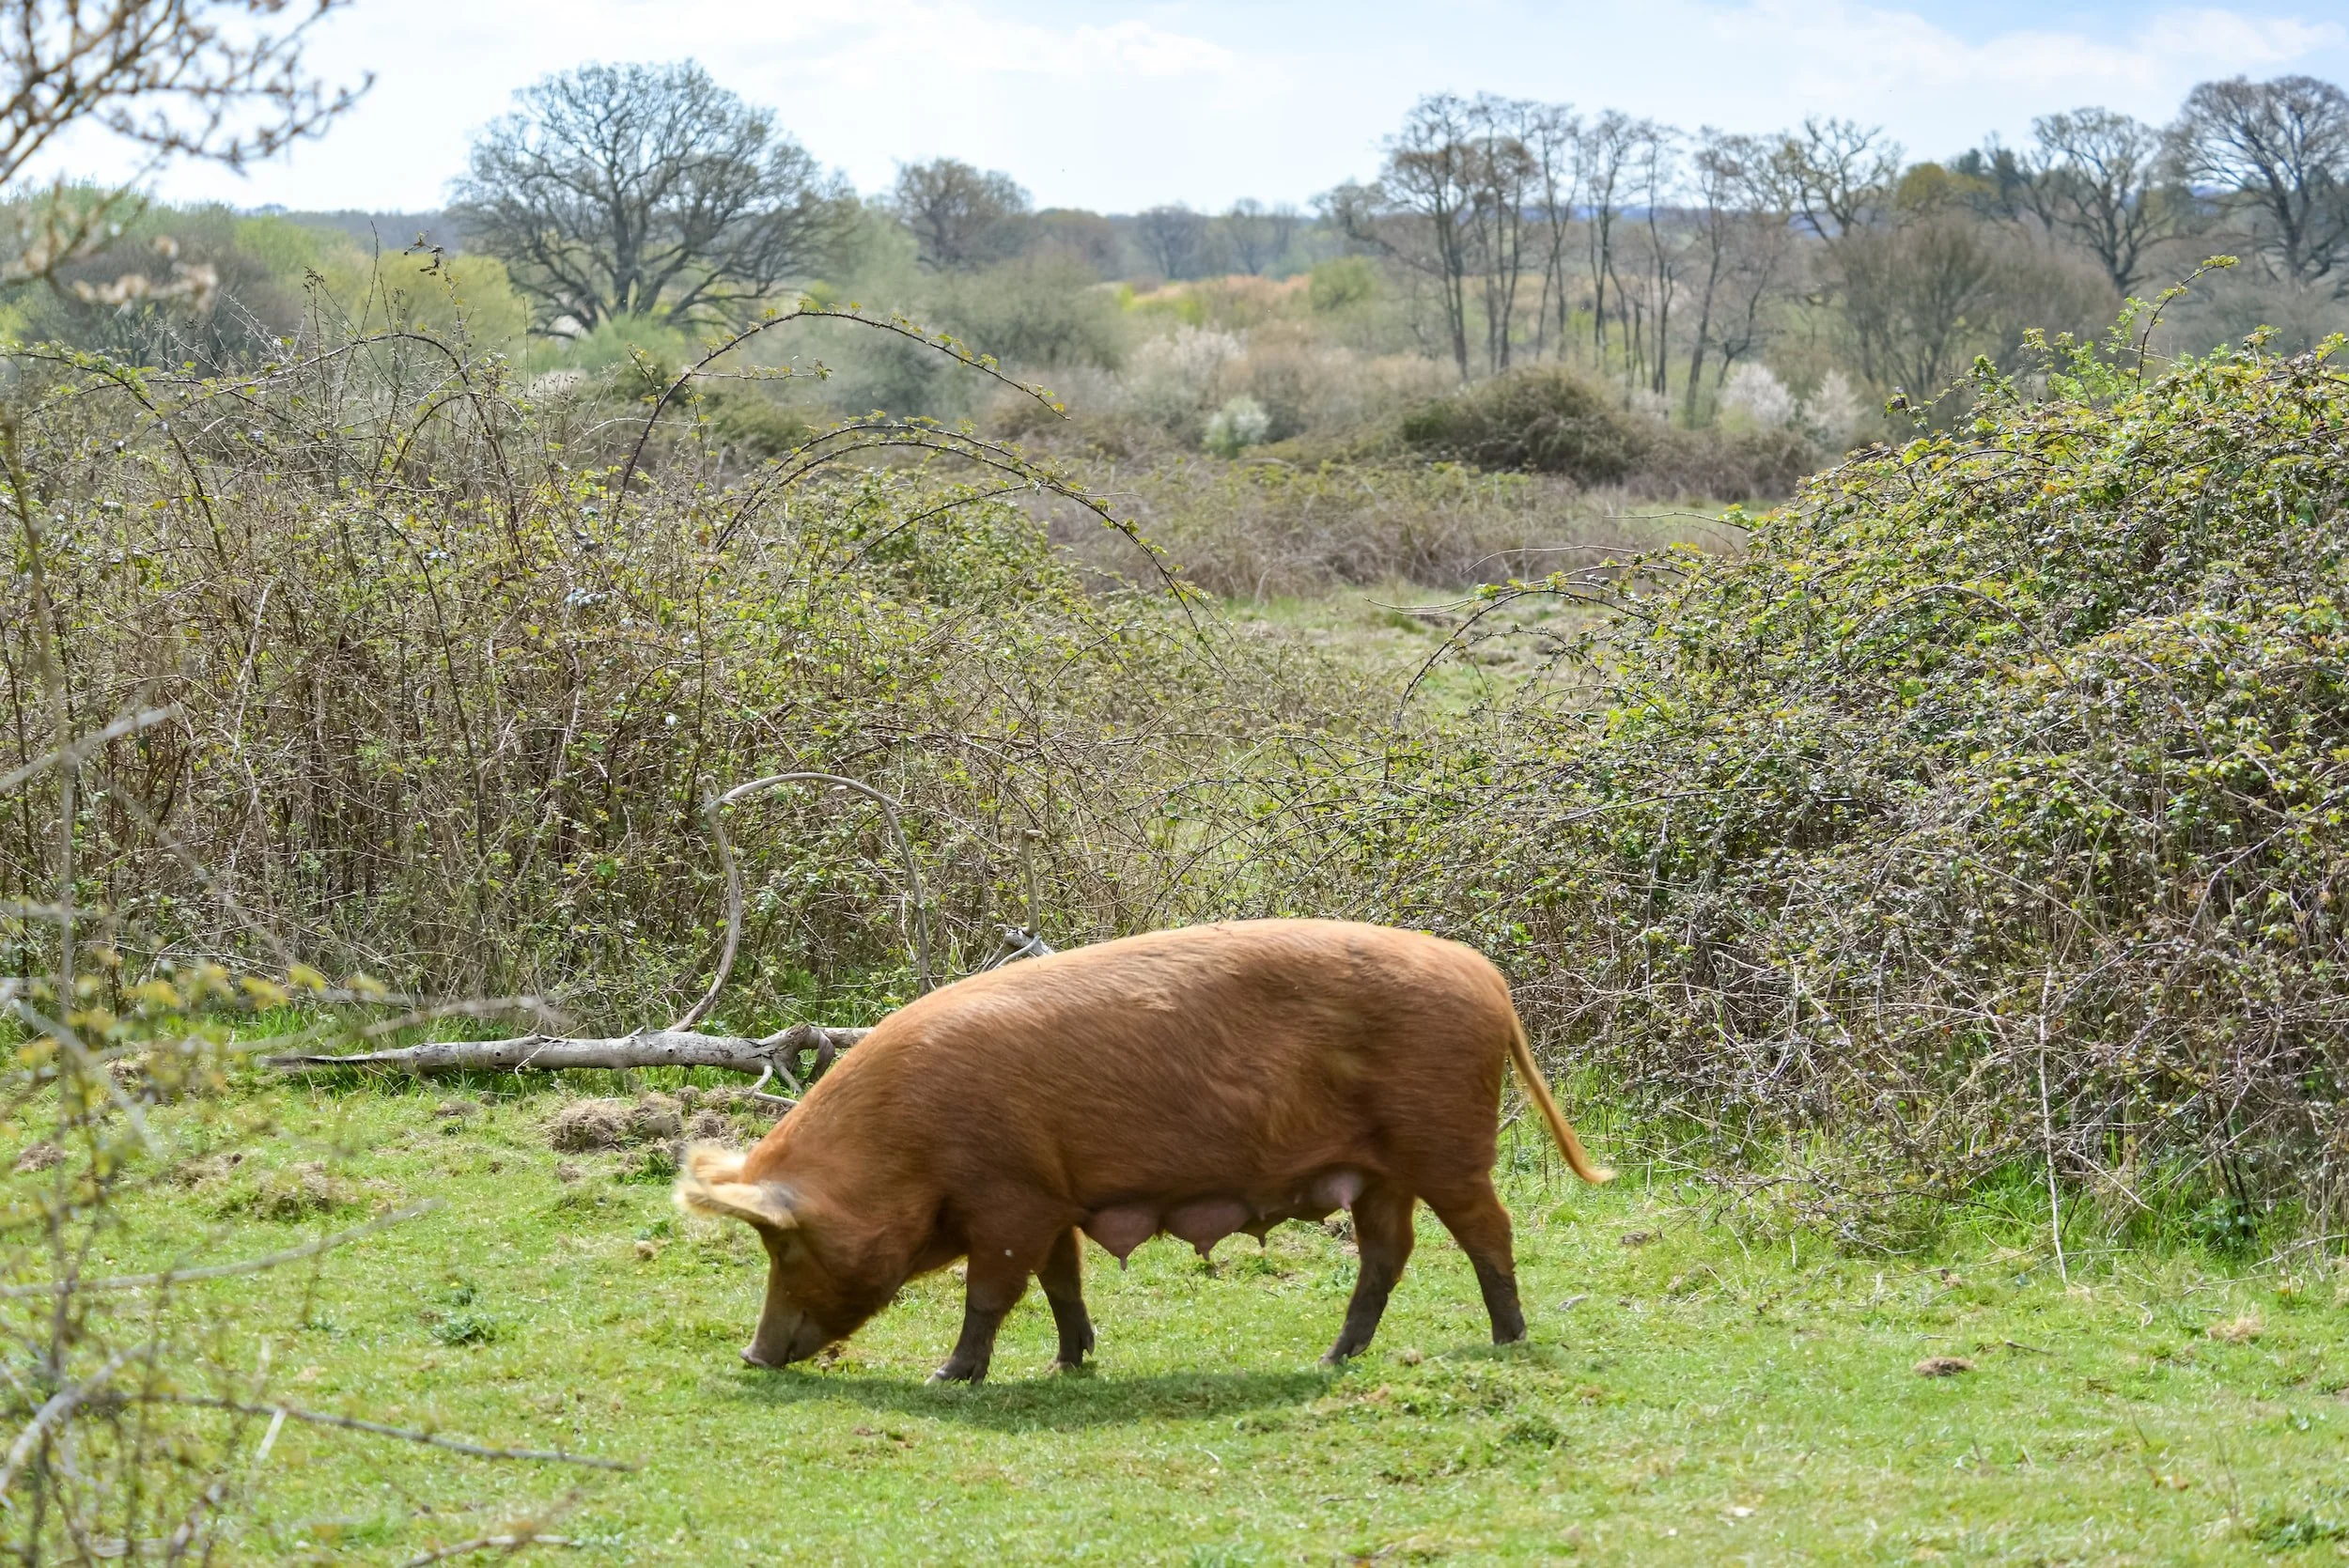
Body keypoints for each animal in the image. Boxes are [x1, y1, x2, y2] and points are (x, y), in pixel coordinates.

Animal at [674, 918, 1611, 1382]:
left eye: (785, 1243)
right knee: (1389, 1253)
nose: (751, 1355)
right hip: (1382, 1171)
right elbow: (1062, 1282)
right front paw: (1069, 1364)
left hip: (1447, 1144)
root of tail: (1485, 976)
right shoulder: (1052, 1196)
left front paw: (949, 1375)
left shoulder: (1008, 1196)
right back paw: (1331, 1357)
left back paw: (1508, 1342)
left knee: (1488, 1232)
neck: (909, 1146)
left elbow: (992, 1291)